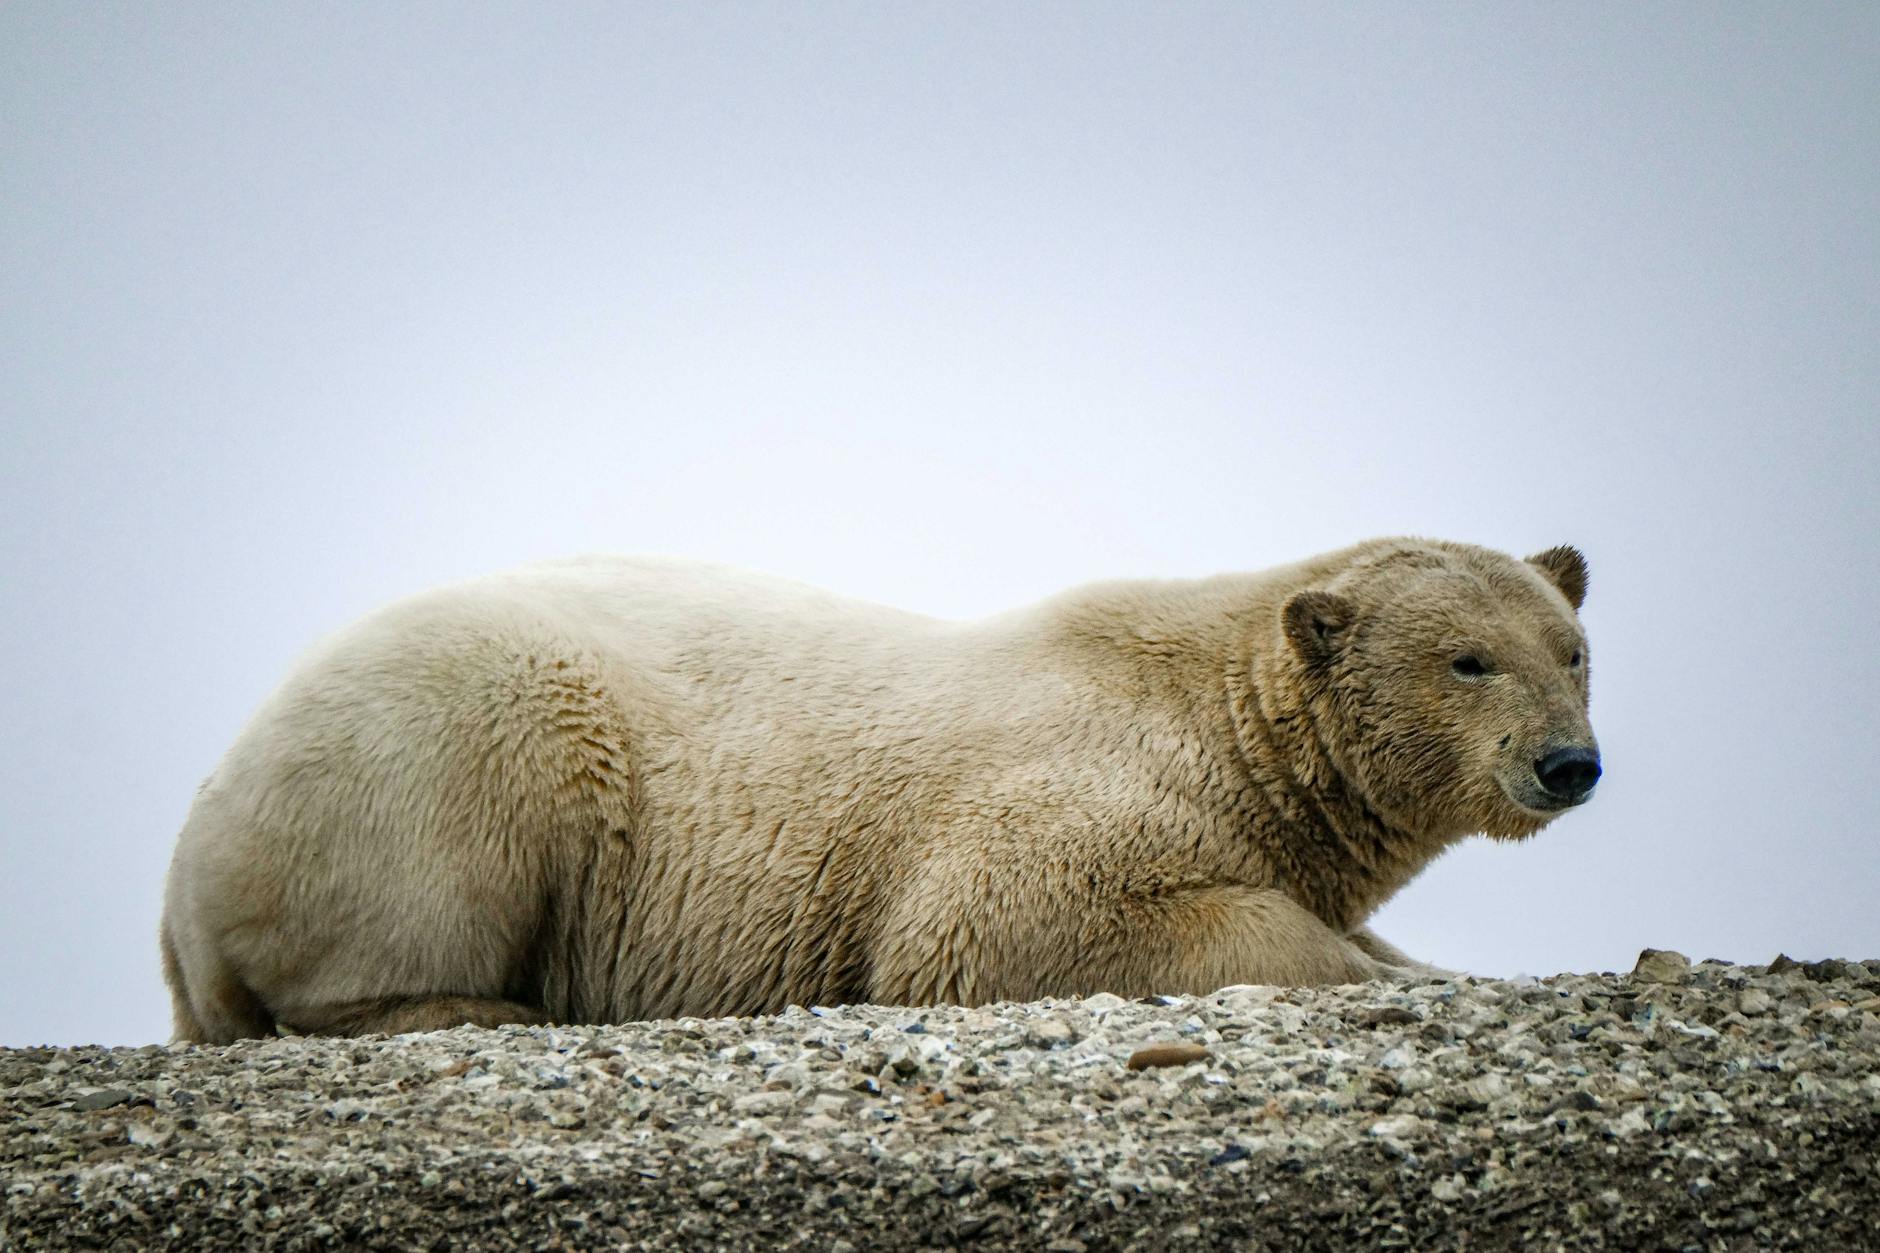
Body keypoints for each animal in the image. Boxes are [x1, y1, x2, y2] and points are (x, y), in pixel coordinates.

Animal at [160, 537, 1599, 1042]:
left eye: (1569, 646)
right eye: (1467, 659)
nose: (1567, 763)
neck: (1220, 712)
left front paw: (1437, 964)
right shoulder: (1064, 791)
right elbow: (1008, 924)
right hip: (451, 733)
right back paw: (477, 1002)